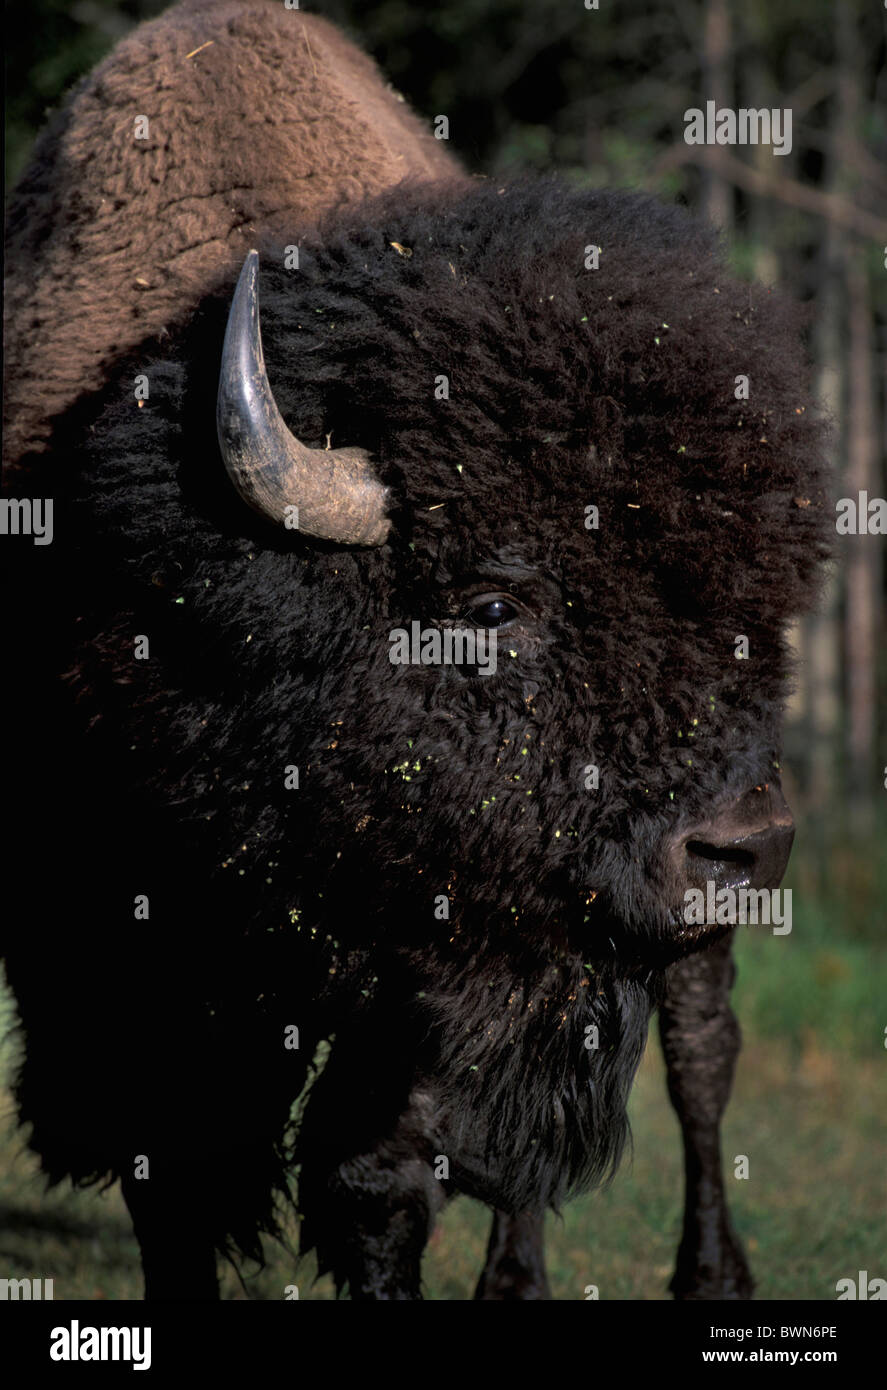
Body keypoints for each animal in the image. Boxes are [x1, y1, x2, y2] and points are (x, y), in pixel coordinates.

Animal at [3, 0, 830, 1301]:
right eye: (490, 607)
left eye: (741, 613)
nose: (739, 849)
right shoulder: (96, 950)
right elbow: (172, 1179)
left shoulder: (430, 967)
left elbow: (378, 1177)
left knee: (698, 1049)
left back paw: (708, 1274)